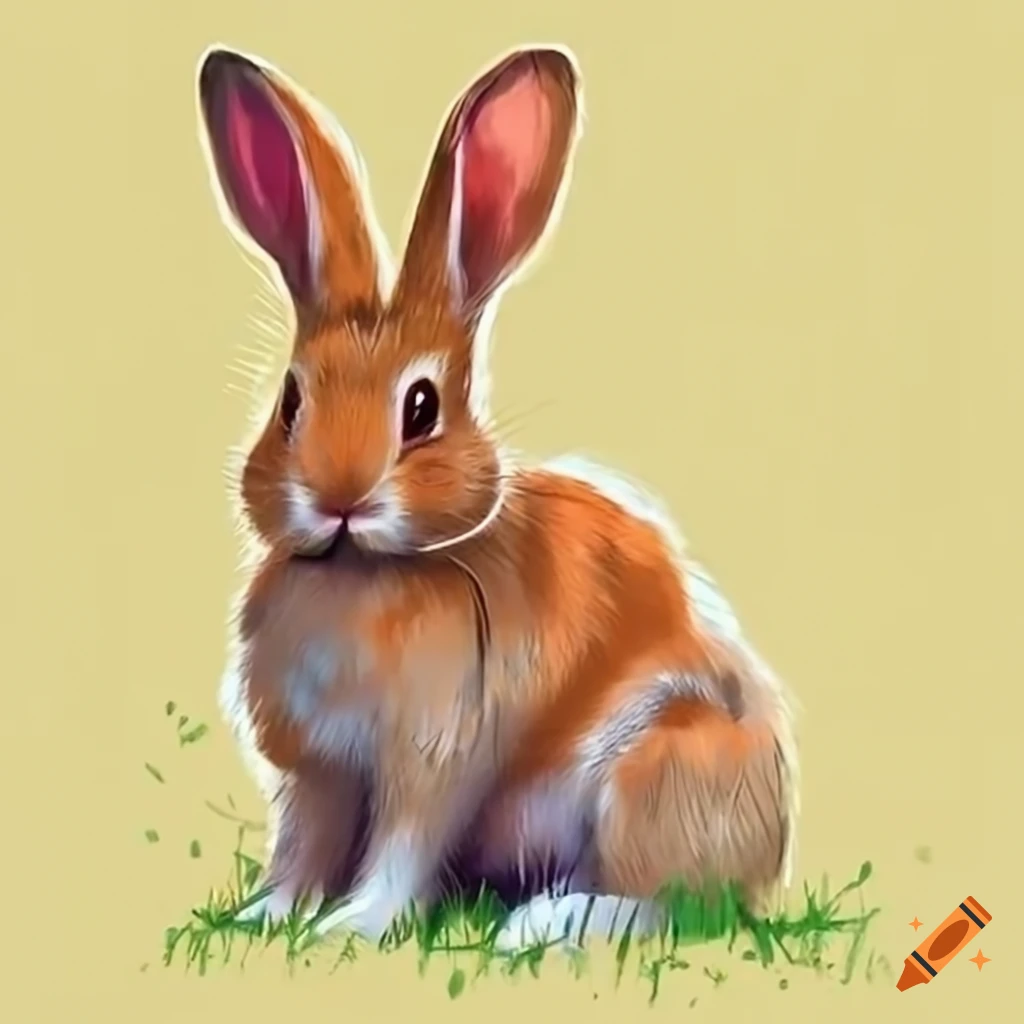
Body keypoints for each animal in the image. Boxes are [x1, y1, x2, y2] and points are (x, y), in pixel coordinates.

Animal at [195, 42, 798, 949]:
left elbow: (403, 850)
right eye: (291, 401)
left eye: (421, 408)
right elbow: (303, 848)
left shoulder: (438, 757)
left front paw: (354, 926)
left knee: (672, 904)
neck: (363, 574)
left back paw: (544, 926)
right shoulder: (320, 771)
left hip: (654, 775)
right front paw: (258, 919)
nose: (340, 497)